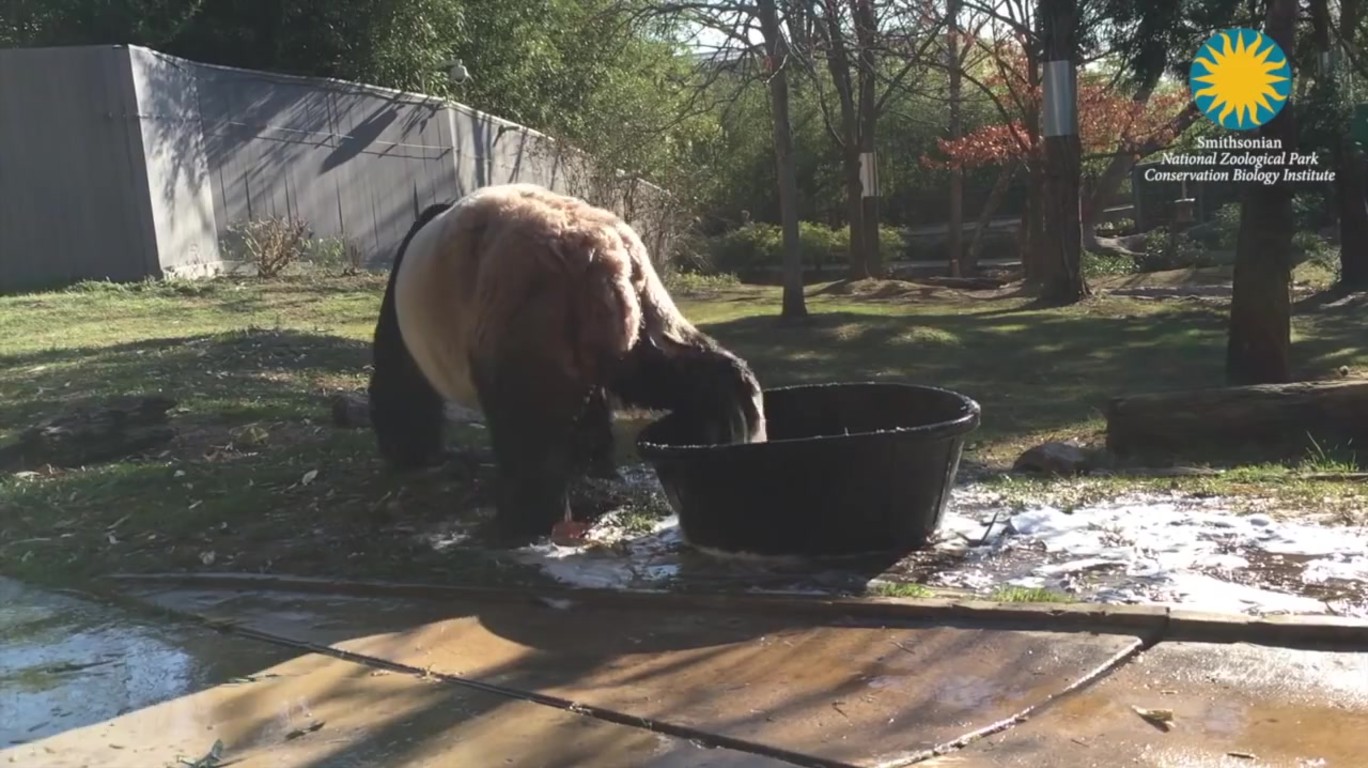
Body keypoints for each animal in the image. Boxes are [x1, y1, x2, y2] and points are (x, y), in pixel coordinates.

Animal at [367, 183, 767, 546]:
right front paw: (593, 465)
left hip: (524, 306)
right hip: (642, 301)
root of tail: (600, 257)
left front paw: (410, 454)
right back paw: (733, 418)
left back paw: (525, 520)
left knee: (527, 425)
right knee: (667, 362)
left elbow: (402, 385)